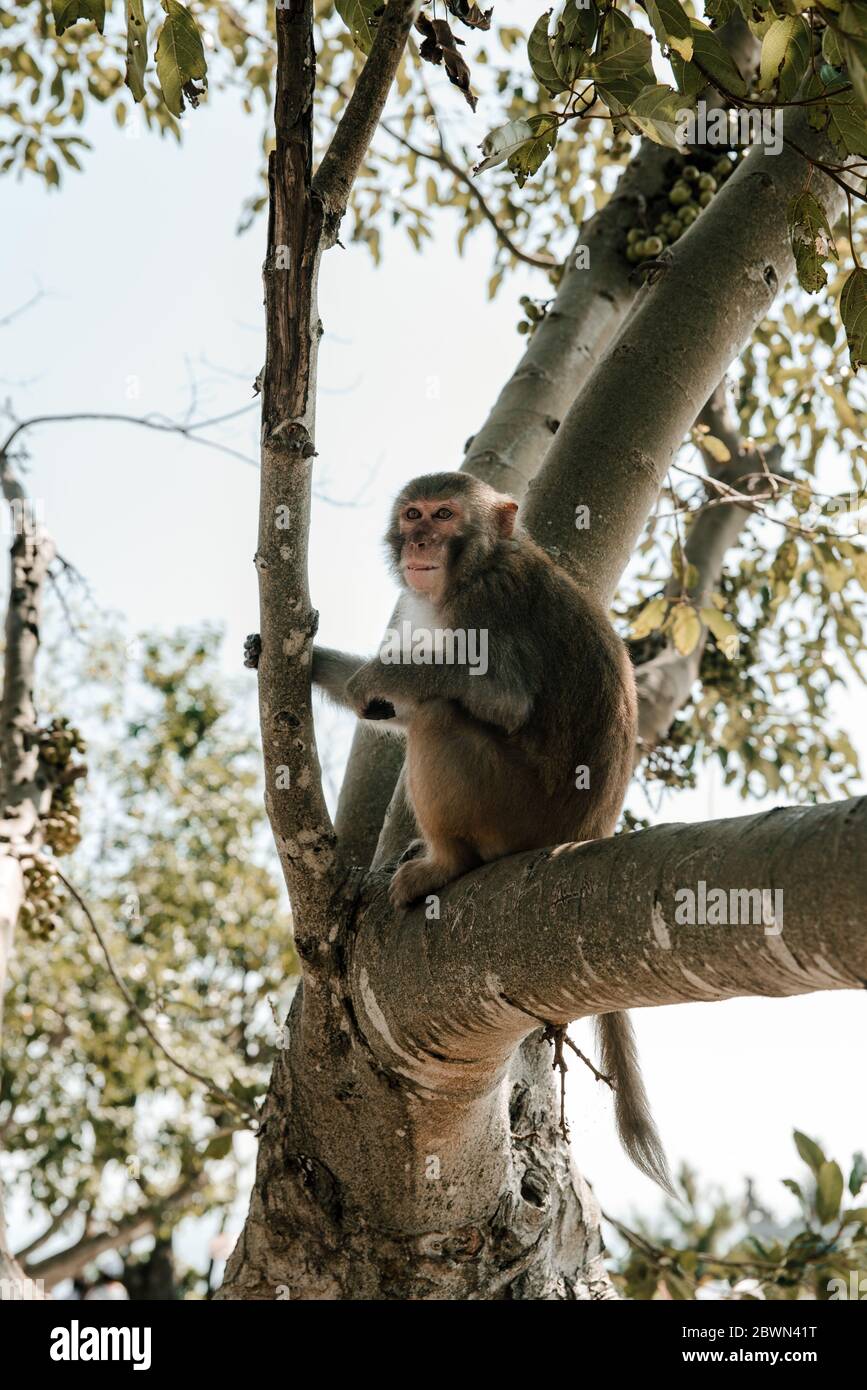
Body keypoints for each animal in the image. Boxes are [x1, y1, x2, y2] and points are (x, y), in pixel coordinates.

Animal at [312, 471, 672, 1194]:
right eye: (413, 514)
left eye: (445, 515)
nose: (420, 541)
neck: (478, 562)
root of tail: (582, 833)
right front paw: (307, 660)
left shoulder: (485, 601)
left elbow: (497, 696)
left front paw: (375, 674)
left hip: (511, 810)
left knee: (440, 716)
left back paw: (443, 863)